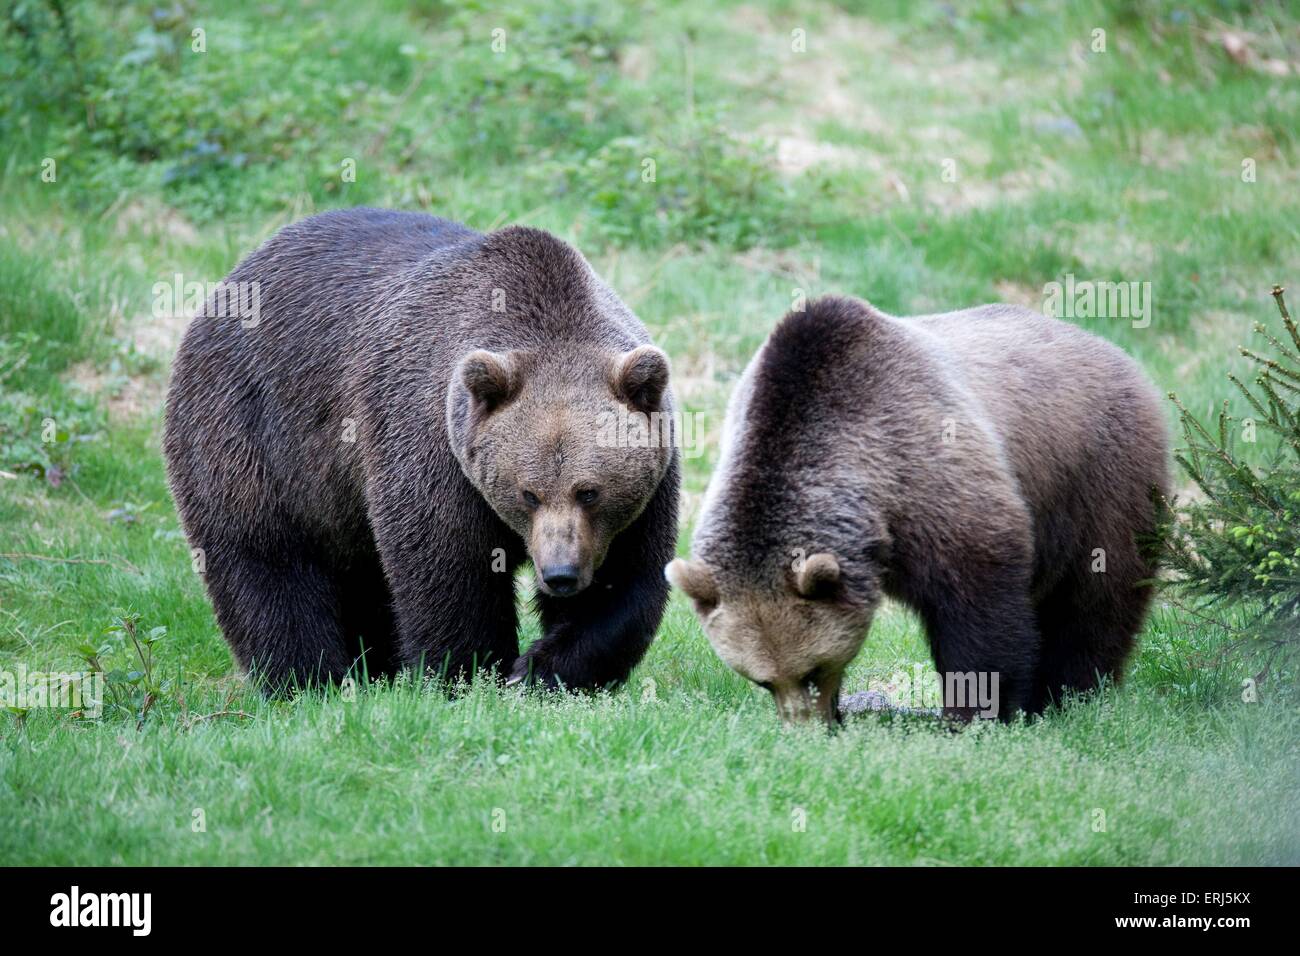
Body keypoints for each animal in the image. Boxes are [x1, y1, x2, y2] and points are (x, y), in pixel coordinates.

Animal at [164, 208, 680, 693]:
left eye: (588, 491)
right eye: (528, 493)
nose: (560, 575)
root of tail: (232, 280)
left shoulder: (646, 490)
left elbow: (626, 580)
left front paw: (542, 670)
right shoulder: (433, 447)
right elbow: (447, 570)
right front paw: (470, 672)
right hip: (253, 429)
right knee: (266, 558)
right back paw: (311, 679)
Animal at [667, 294, 1168, 724]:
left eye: (812, 670)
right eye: (762, 681)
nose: (808, 729)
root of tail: (1114, 351)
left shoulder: (931, 473)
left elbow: (979, 608)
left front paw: (975, 714)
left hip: (1099, 473)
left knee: (1094, 600)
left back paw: (1069, 695)